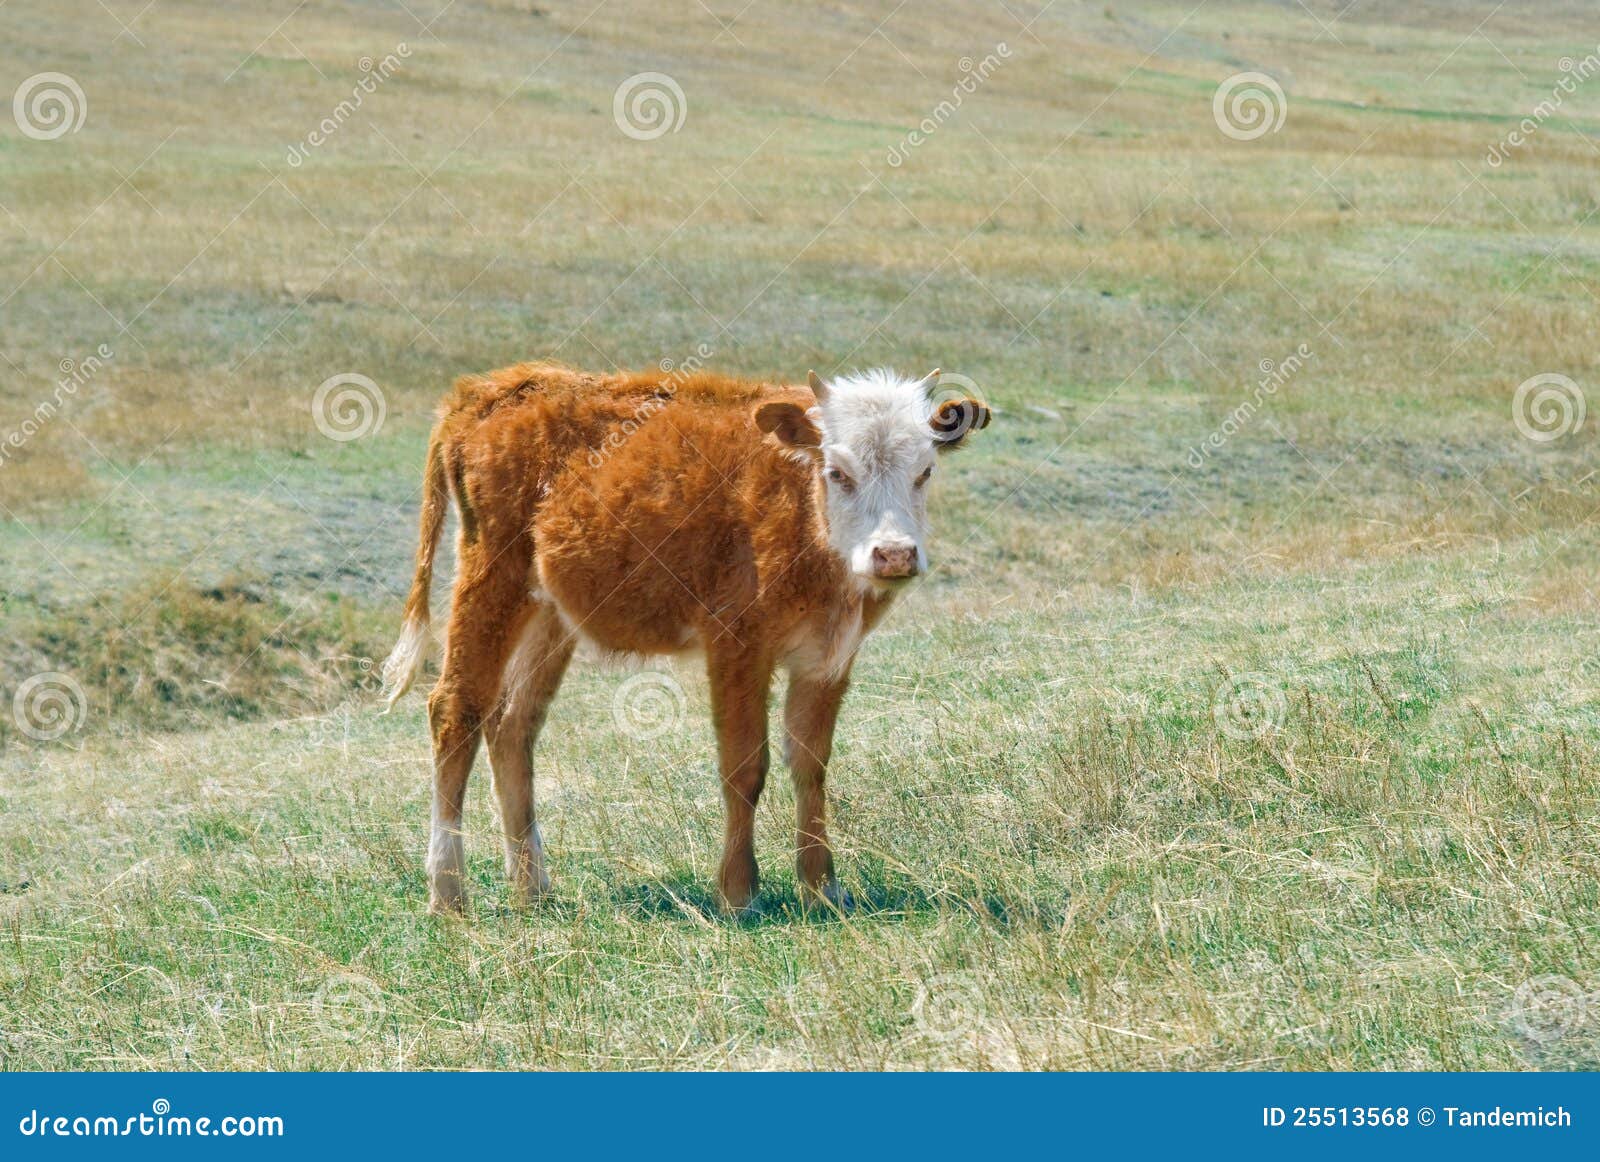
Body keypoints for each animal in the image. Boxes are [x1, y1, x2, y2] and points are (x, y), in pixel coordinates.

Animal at [380, 362, 990, 916]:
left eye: (925, 471)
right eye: (837, 472)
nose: (894, 555)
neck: (804, 512)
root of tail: (489, 390)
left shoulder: (826, 659)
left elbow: (810, 765)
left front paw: (822, 888)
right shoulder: (737, 648)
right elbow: (745, 767)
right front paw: (739, 893)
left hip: (548, 616)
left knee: (512, 724)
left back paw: (532, 888)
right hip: (489, 582)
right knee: (455, 709)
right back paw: (449, 892)